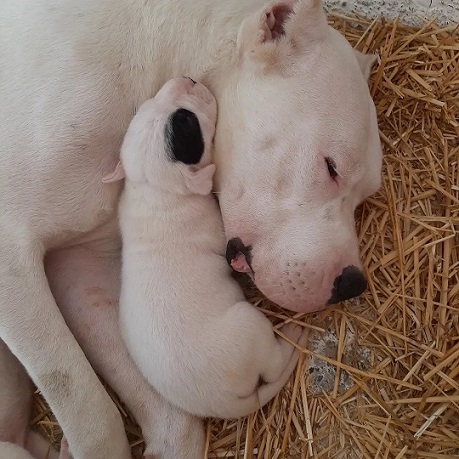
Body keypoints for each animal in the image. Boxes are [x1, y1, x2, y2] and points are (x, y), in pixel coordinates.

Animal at [102, 78, 308, 420]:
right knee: (274, 363)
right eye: (186, 122)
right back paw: (293, 335)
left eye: (146, 105)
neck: (155, 190)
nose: (188, 79)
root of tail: (222, 402)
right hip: (250, 328)